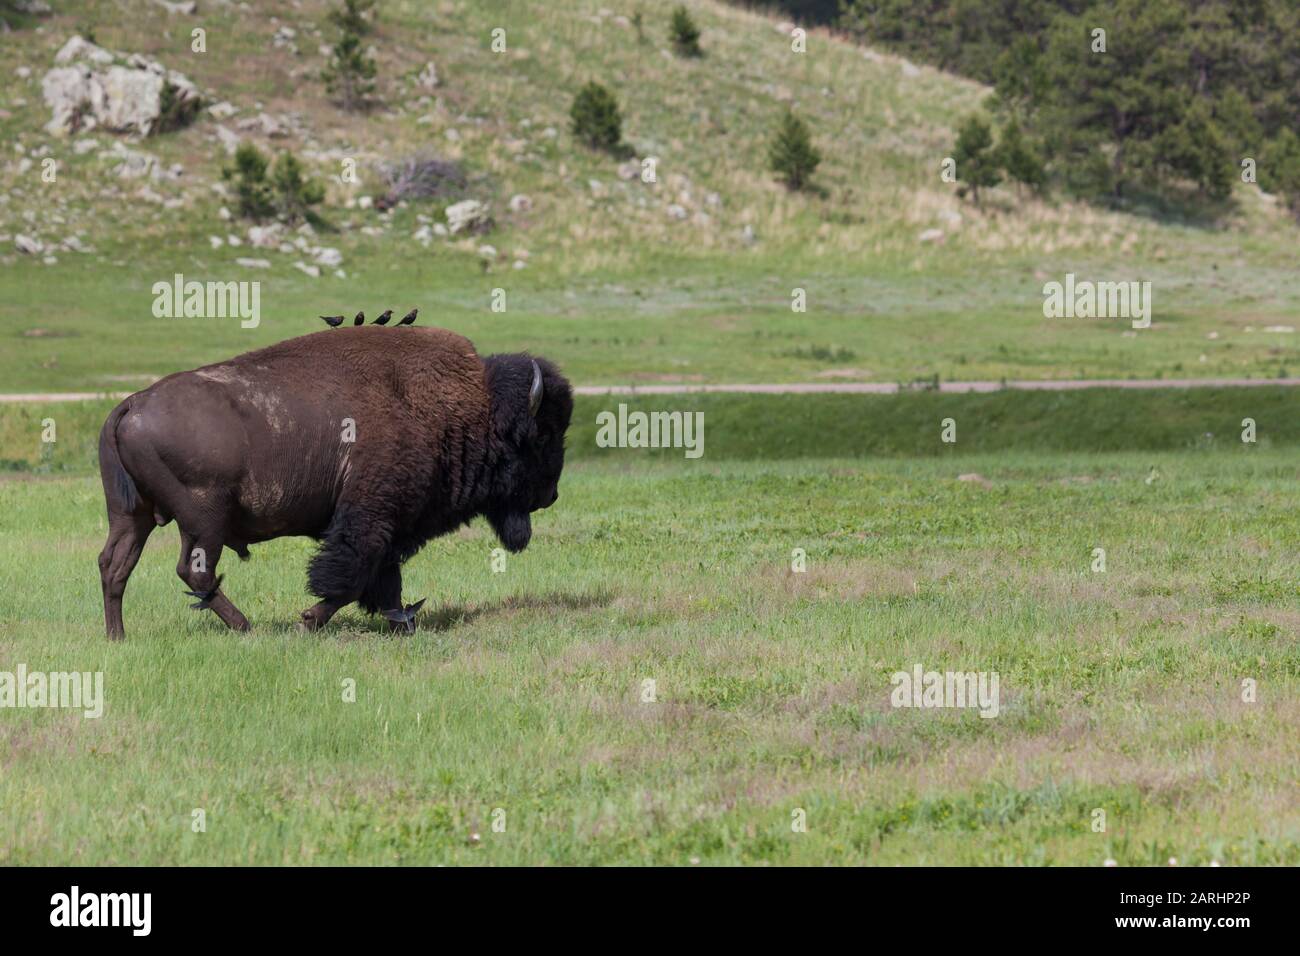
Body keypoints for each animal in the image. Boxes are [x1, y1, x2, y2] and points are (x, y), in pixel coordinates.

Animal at [96, 326, 573, 639]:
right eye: (541, 436)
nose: (551, 494)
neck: (465, 409)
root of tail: (132, 404)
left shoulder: (389, 528)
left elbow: (383, 579)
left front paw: (401, 621)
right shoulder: (370, 519)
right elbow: (351, 576)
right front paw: (309, 620)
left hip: (131, 516)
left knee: (114, 565)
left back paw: (118, 636)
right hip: (204, 520)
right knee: (194, 571)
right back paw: (246, 626)